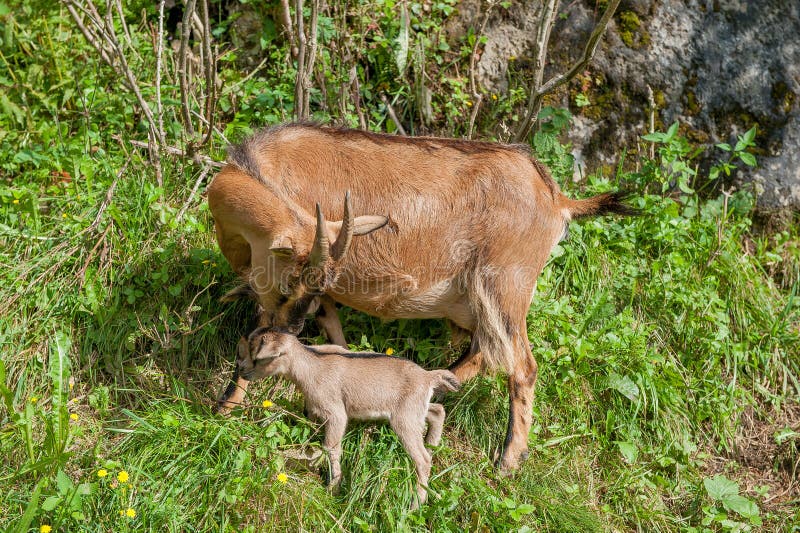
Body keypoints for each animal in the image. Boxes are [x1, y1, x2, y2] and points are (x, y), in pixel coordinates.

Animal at [209, 123, 636, 470]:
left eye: (286, 286)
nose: (291, 330)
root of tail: (558, 199)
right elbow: (333, 330)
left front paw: (224, 407)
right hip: (476, 302)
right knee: (481, 352)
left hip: (505, 285)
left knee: (522, 366)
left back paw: (508, 460)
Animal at [237, 327, 460, 507]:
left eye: (258, 357)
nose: (241, 371)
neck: (310, 365)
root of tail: (428, 377)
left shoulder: (335, 413)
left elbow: (331, 448)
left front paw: (332, 489)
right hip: (415, 409)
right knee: (437, 411)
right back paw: (432, 445)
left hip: (404, 419)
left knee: (422, 459)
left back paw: (416, 503)